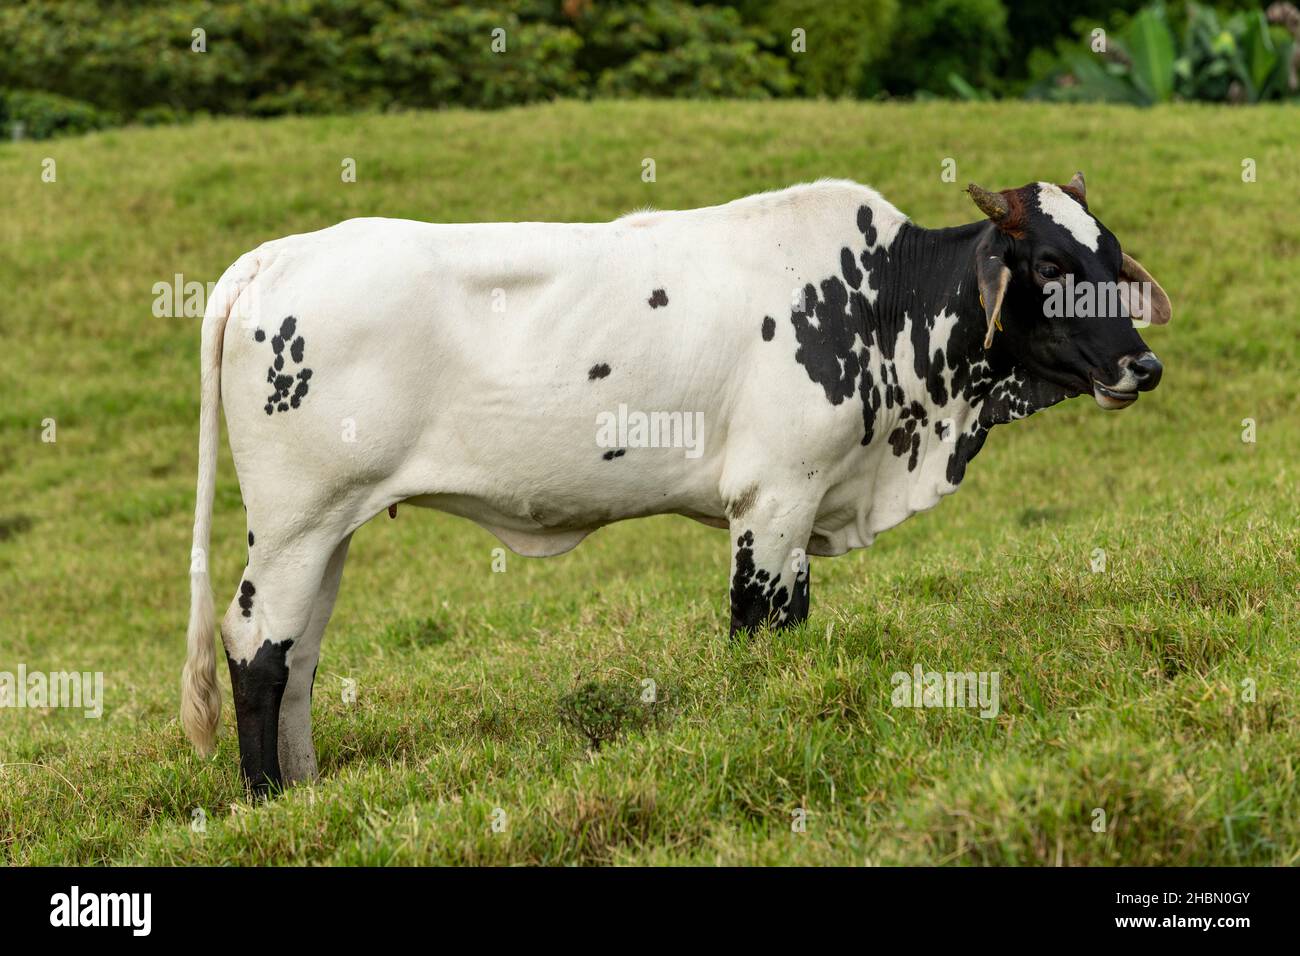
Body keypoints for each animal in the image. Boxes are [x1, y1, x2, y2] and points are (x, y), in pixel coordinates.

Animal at [181, 173, 1171, 794]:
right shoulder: (773, 498)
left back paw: (309, 790)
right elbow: (756, 626)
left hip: (331, 528)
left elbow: (789, 624)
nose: (1143, 364)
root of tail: (275, 256)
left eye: (1111, 257)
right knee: (257, 646)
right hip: (294, 522)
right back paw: (268, 800)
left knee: (302, 652)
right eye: (1049, 266)